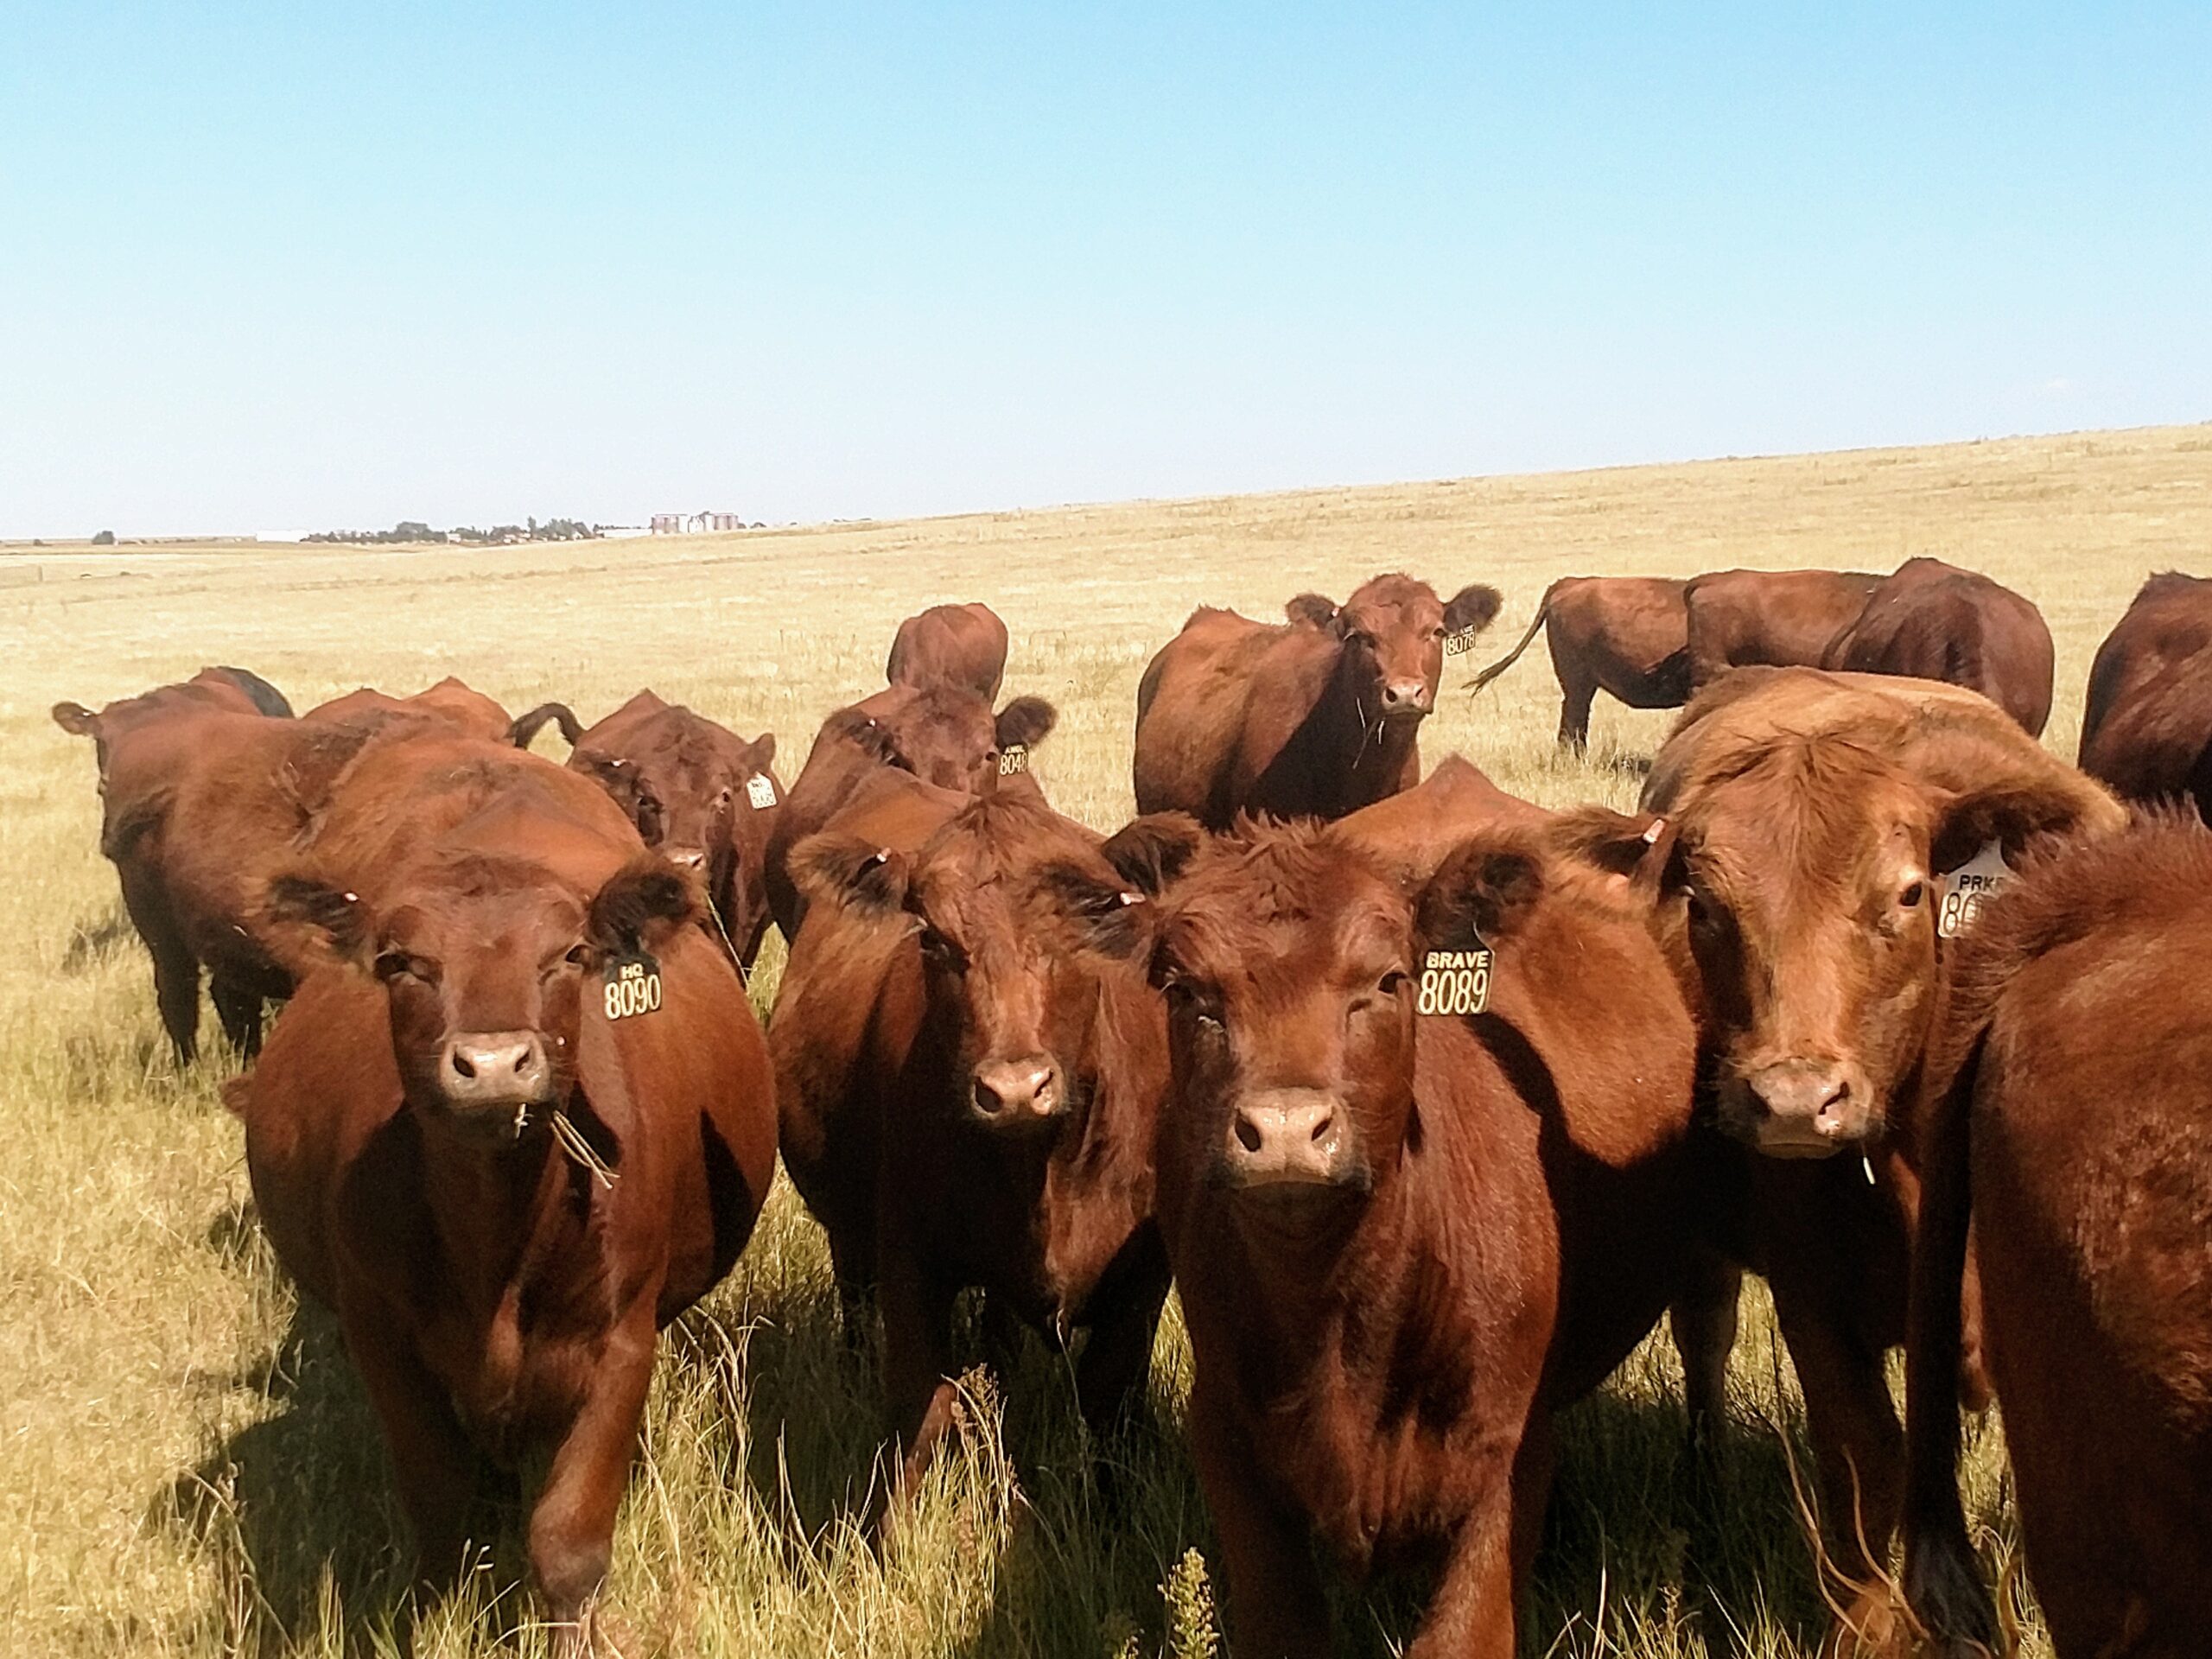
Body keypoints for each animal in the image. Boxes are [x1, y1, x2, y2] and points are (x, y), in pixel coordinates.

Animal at [240, 741, 777, 1655]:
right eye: (402, 962)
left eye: (569, 955)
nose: (493, 1063)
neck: (494, 1236)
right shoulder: (381, 1337)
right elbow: (439, 1507)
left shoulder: (622, 1344)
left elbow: (568, 1537)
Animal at [777, 784, 1178, 1515]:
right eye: (934, 939)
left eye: (1085, 926)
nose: (1015, 1088)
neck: (1044, 1171)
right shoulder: (911, 1257)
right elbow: (917, 1408)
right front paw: (889, 1535)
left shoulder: (1141, 1275)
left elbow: (1110, 1406)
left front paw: (1112, 1521)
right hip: (849, 1232)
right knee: (856, 1304)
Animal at [1627, 666, 2123, 1647]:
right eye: (1703, 907)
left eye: (1906, 894)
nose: (1793, 1097)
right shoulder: (1813, 1296)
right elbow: (1866, 1466)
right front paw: (1867, 1631)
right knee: (1705, 1336)